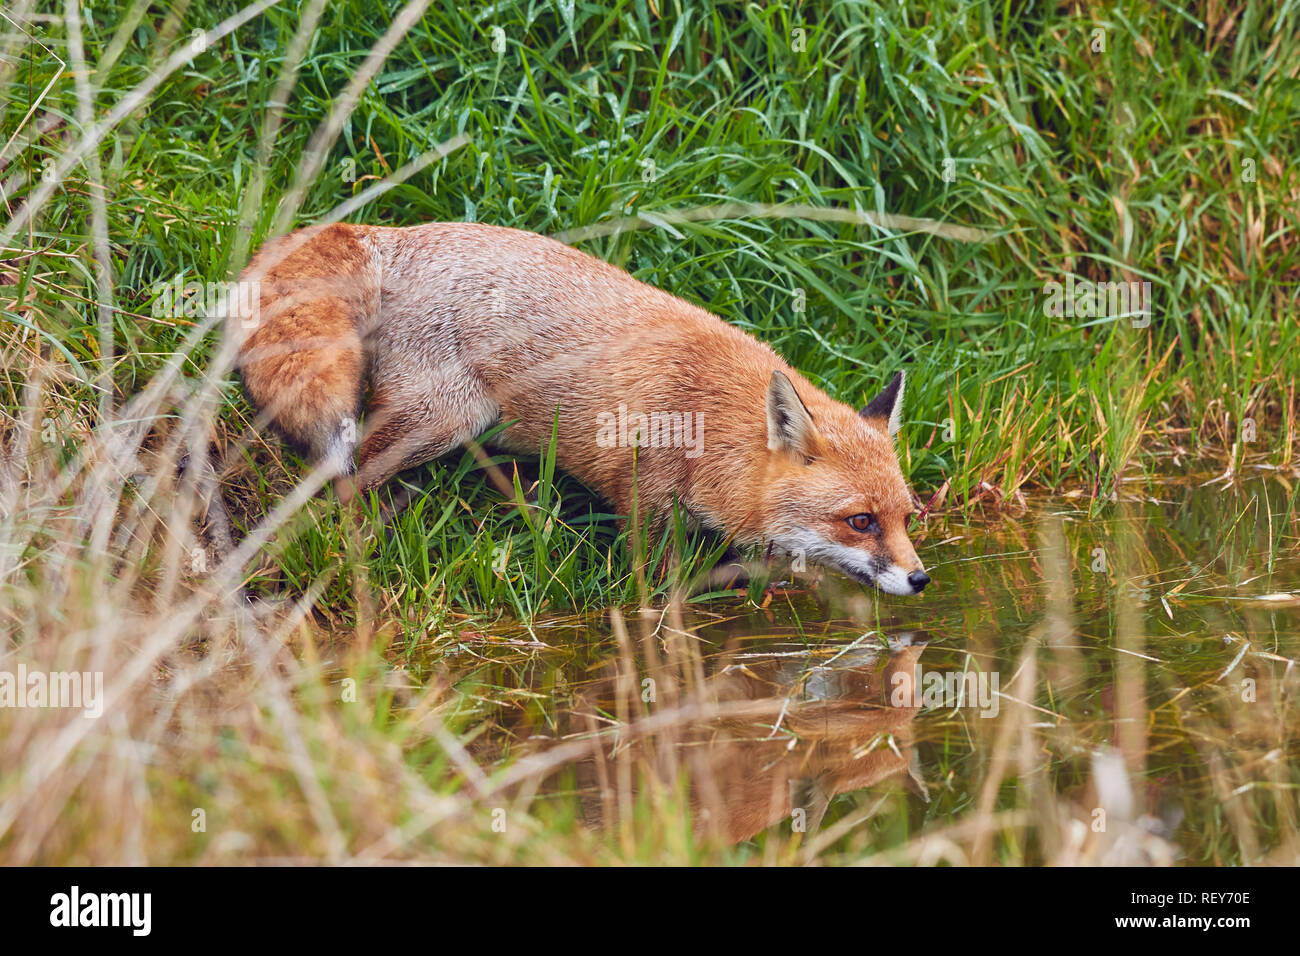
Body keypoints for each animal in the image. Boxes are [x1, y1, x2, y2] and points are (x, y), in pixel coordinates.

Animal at [228, 226, 930, 598]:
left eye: (906, 517)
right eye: (860, 522)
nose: (922, 580)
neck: (705, 419)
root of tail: (397, 233)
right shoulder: (644, 504)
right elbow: (657, 593)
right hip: (440, 419)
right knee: (348, 476)